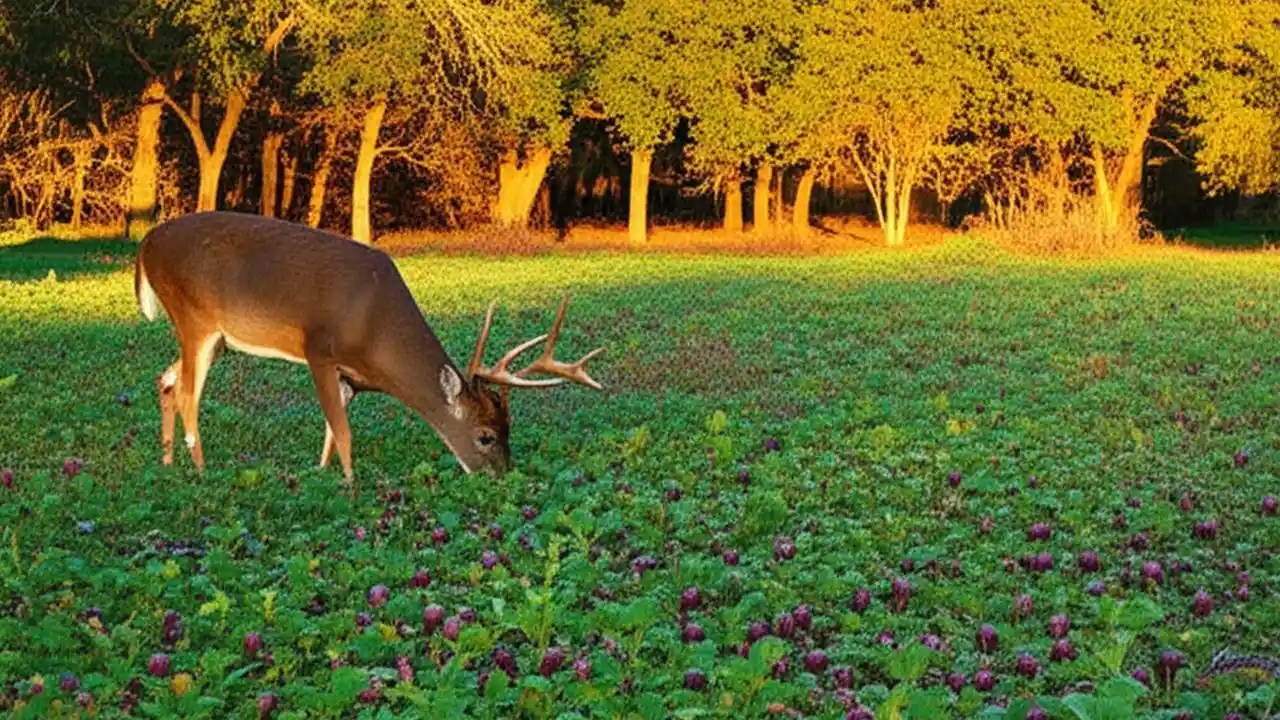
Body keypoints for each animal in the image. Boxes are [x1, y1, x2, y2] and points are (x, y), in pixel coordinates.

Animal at [133, 211, 604, 481]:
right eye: (485, 436)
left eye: (510, 429)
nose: (503, 477)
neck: (375, 333)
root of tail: (144, 245)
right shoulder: (319, 347)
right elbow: (342, 429)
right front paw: (350, 485)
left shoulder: (351, 377)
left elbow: (332, 425)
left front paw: (323, 473)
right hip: (194, 317)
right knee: (189, 393)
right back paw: (201, 469)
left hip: (217, 339)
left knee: (166, 379)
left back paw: (168, 462)